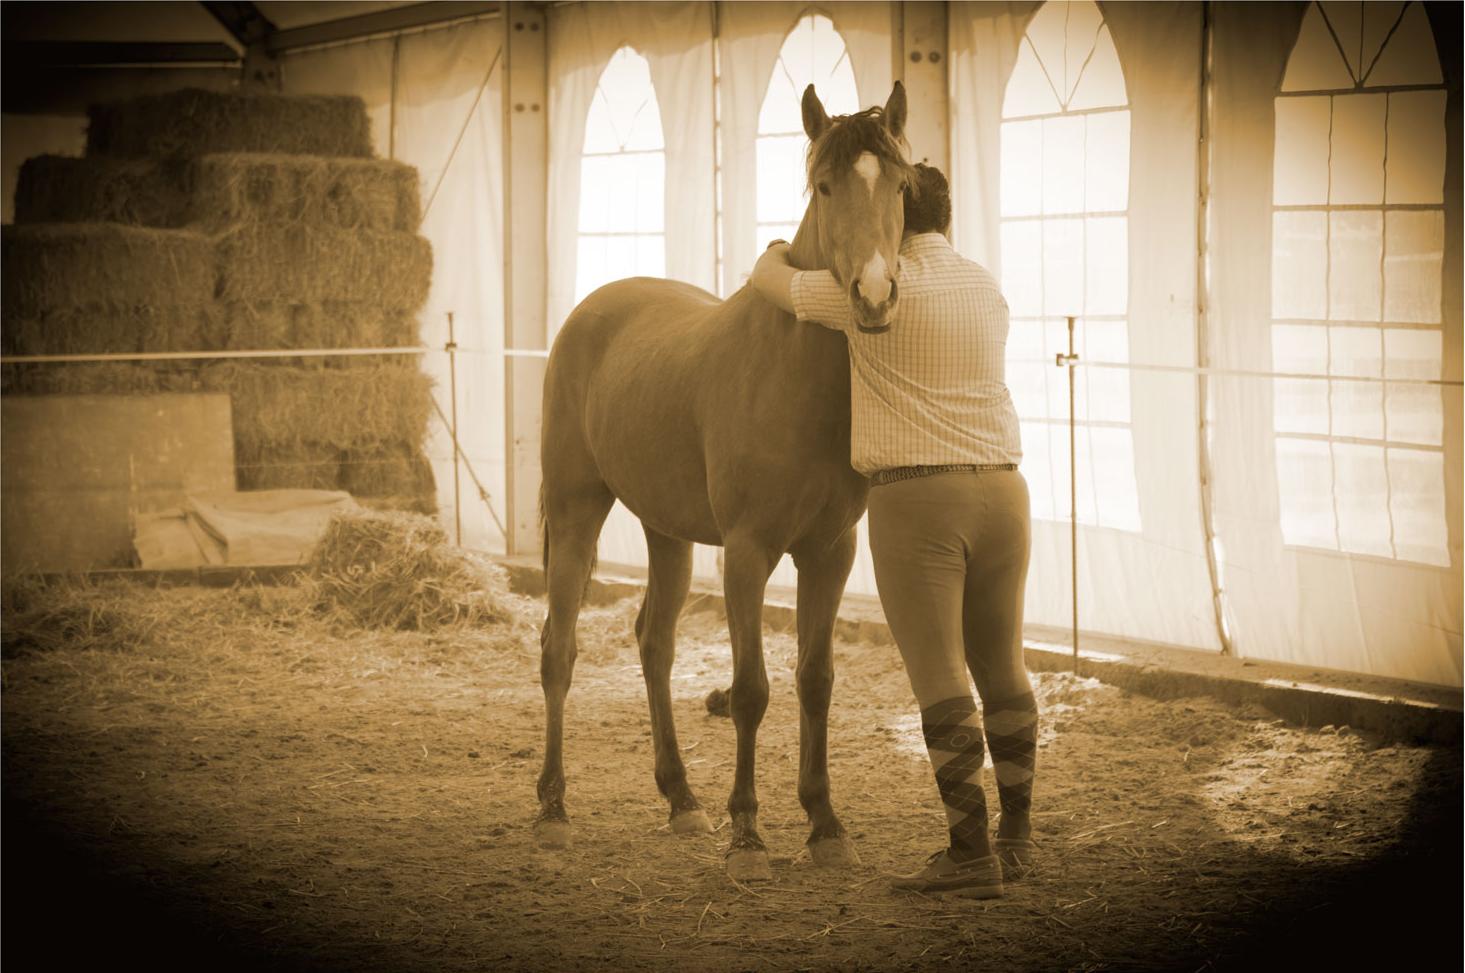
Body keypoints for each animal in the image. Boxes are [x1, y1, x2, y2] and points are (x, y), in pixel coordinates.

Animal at [535, 82, 914, 882]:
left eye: (899, 186)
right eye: (824, 186)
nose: (873, 294)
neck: (792, 373)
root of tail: (588, 313)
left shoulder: (829, 553)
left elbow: (814, 680)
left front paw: (824, 823)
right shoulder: (747, 553)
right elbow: (750, 691)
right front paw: (747, 831)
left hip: (667, 532)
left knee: (653, 645)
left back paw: (681, 798)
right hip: (578, 512)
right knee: (559, 649)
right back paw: (552, 807)